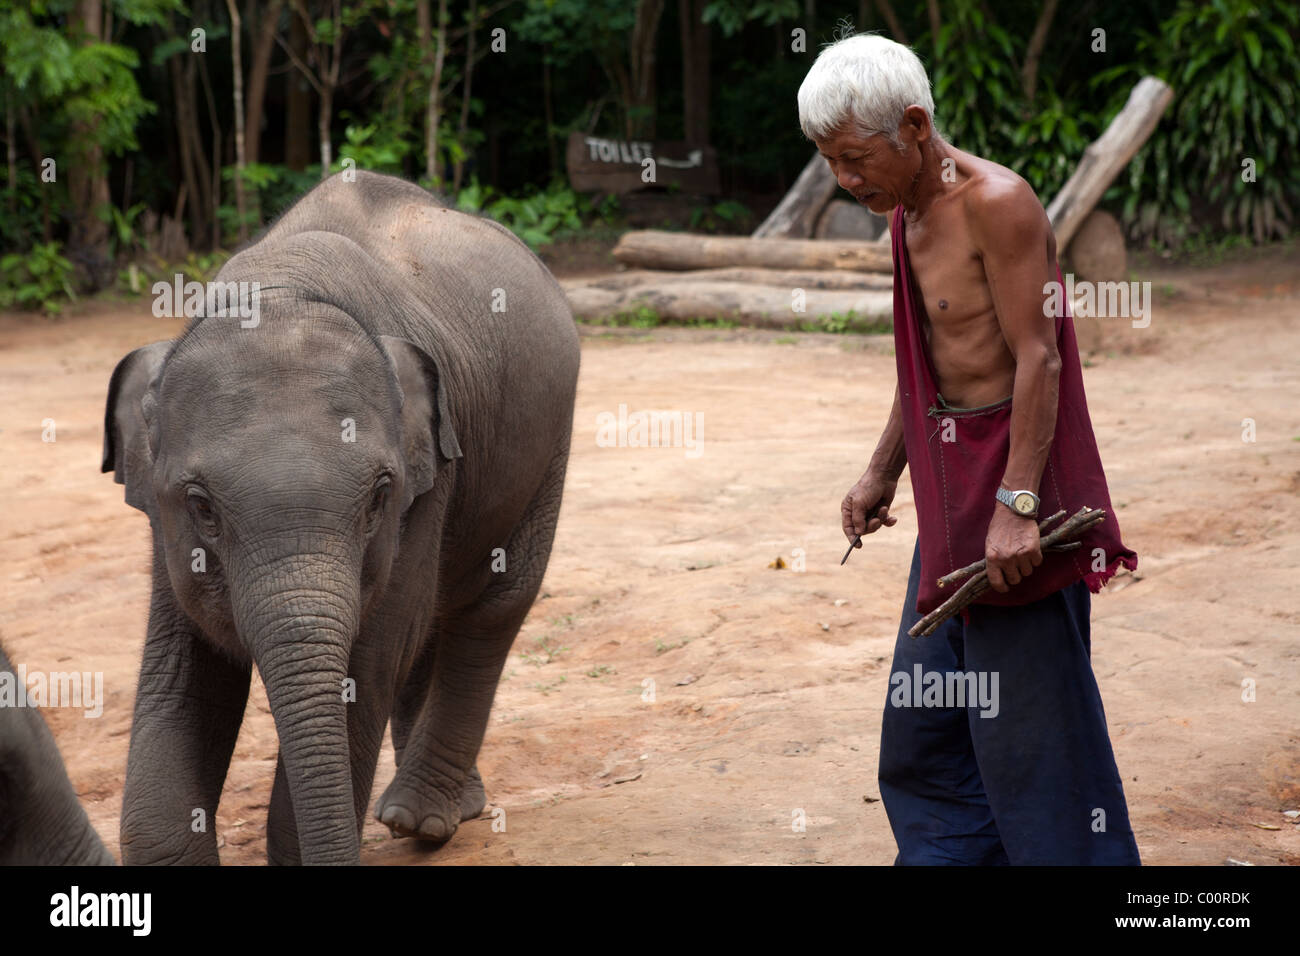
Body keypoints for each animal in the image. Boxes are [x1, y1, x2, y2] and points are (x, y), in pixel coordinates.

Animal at [102, 170, 579, 864]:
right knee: (436, 617)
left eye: (379, 496)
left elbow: (372, 658)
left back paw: (420, 819)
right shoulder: (164, 528)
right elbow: (185, 669)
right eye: (200, 506)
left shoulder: (426, 482)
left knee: (493, 606)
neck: (282, 292)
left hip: (550, 444)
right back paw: (443, 811)